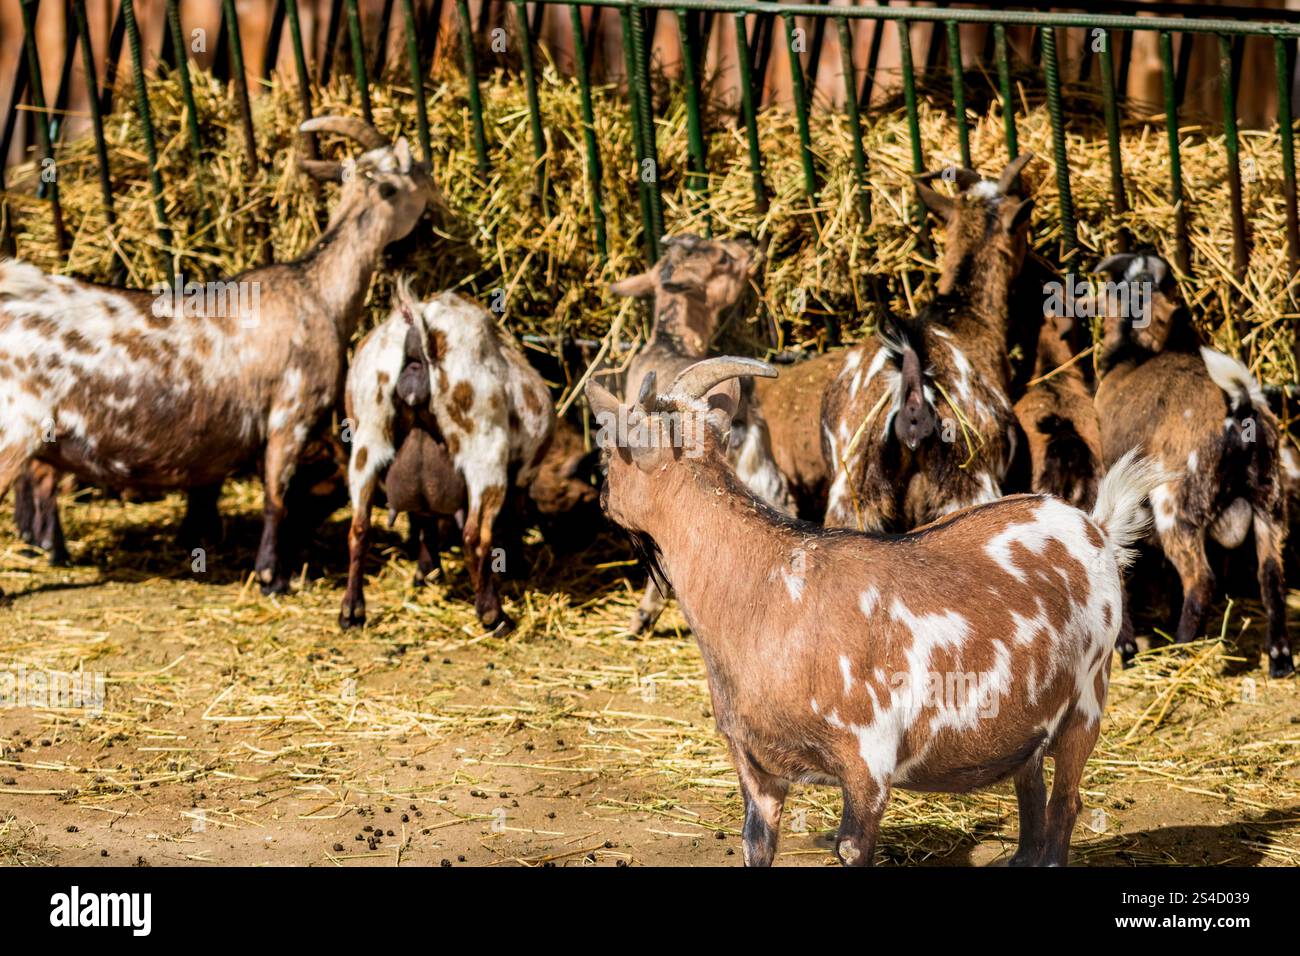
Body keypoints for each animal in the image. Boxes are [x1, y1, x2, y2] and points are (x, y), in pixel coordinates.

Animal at [0, 116, 435, 601]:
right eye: (416, 172)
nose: (436, 193)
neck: (315, 290)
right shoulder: (291, 415)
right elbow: (275, 497)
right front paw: (272, 576)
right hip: (14, 430)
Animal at [340, 282, 554, 633]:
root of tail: (416, 330)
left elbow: (423, 520)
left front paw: (426, 573)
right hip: (484, 448)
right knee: (475, 536)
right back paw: (493, 615)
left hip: (367, 440)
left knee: (359, 528)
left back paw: (351, 611)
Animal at [587, 355, 1160, 866]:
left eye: (612, 450)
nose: (602, 497)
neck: (768, 592)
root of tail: (1095, 527)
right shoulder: (754, 764)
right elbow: (756, 844)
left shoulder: (869, 759)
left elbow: (851, 847)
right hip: (1031, 725)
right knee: (1031, 796)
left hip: (1086, 701)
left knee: (1065, 806)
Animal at [1093, 251, 1292, 676]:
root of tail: (1240, 409)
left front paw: (1128, 647)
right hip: (1269, 499)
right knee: (1271, 575)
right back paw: (1280, 658)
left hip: (1177, 503)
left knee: (1201, 580)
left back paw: (1179, 652)